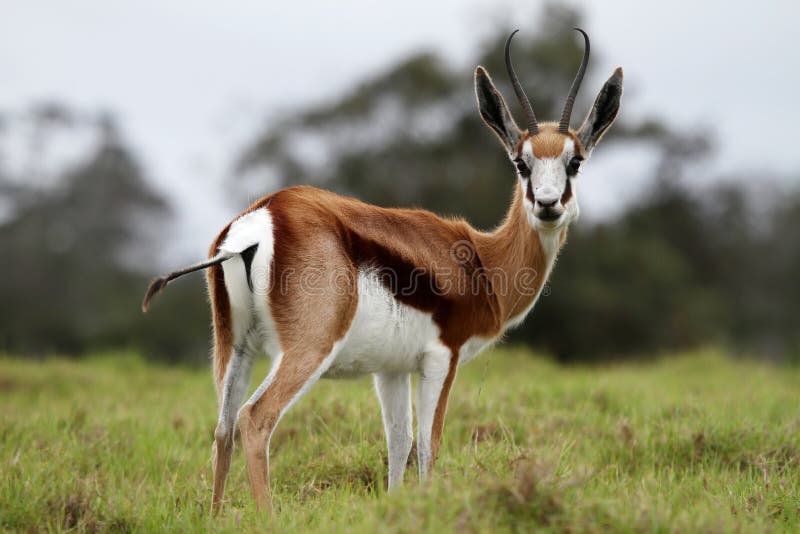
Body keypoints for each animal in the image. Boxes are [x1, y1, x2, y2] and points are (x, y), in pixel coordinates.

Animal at [142, 29, 622, 512]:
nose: (548, 204)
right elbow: (428, 447)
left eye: (575, 161)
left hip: (234, 347)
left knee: (223, 430)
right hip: (308, 348)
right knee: (255, 420)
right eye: (522, 162)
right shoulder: (442, 358)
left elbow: (398, 445)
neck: (482, 262)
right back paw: (268, 516)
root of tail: (263, 216)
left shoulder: (390, 370)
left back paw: (217, 516)